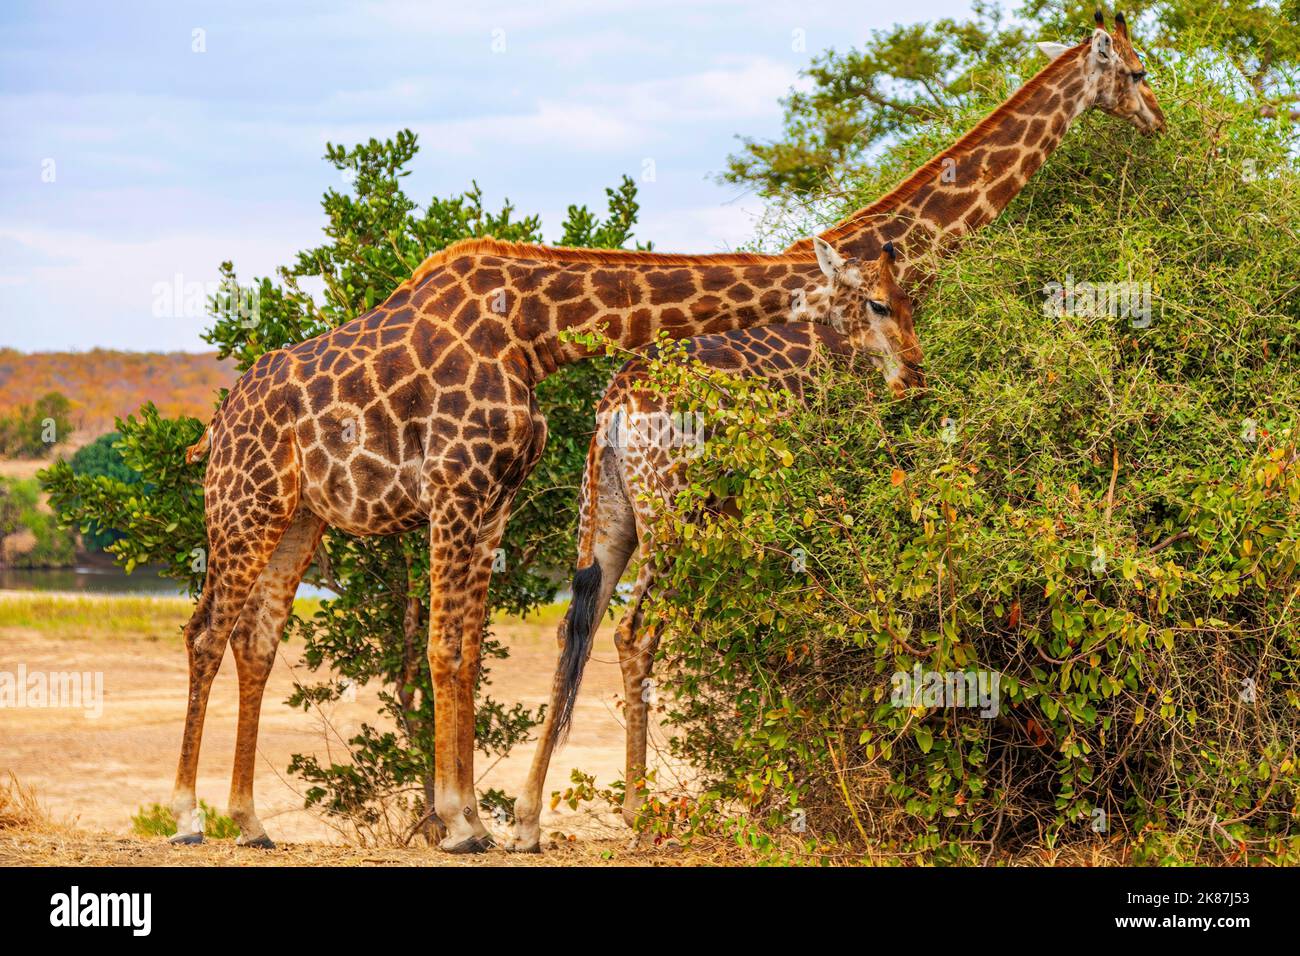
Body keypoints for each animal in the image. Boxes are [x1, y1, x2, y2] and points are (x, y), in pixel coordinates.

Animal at [508, 11, 1165, 850]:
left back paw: (527, 816)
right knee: (637, 635)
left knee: (577, 632)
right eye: (1139, 71)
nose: (1160, 120)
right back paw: (639, 810)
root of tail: (618, 411)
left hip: (612, 516)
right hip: (682, 516)